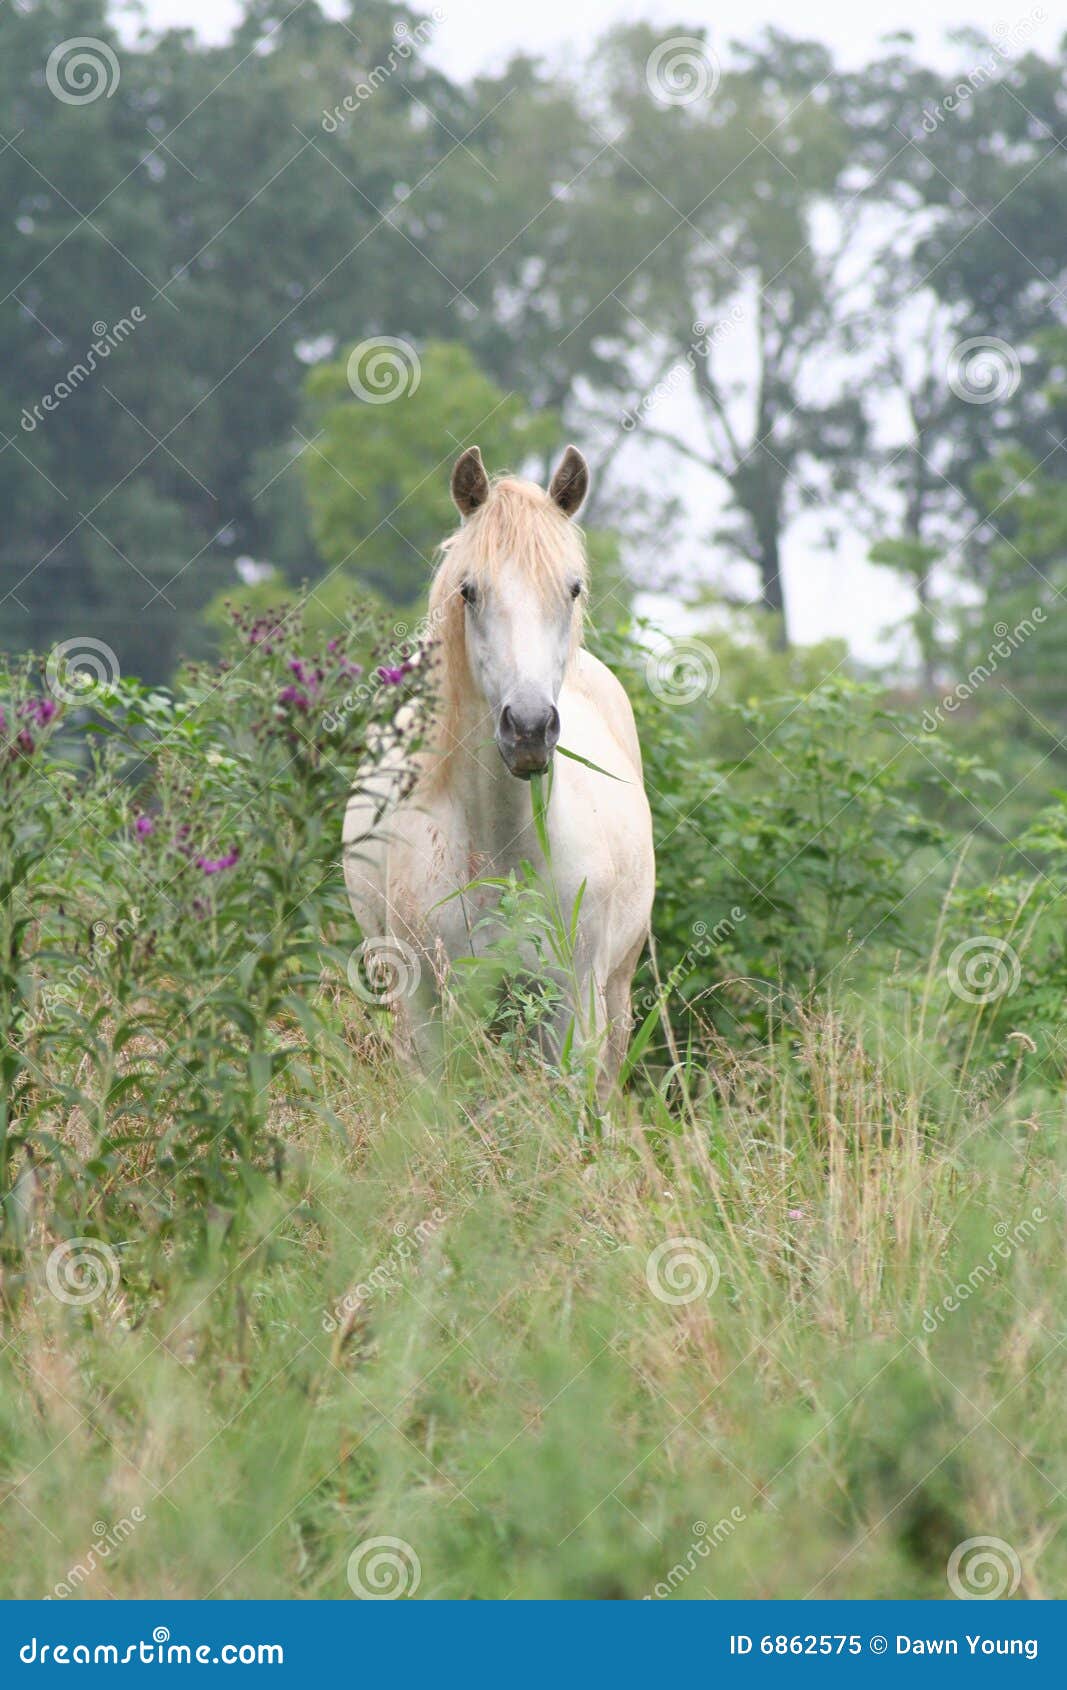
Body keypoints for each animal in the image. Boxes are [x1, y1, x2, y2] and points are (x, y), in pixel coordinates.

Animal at [342, 444, 655, 1095]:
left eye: (572, 589)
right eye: (470, 591)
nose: (530, 728)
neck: (503, 857)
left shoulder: (572, 1007)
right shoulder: (427, 1012)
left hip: (615, 992)